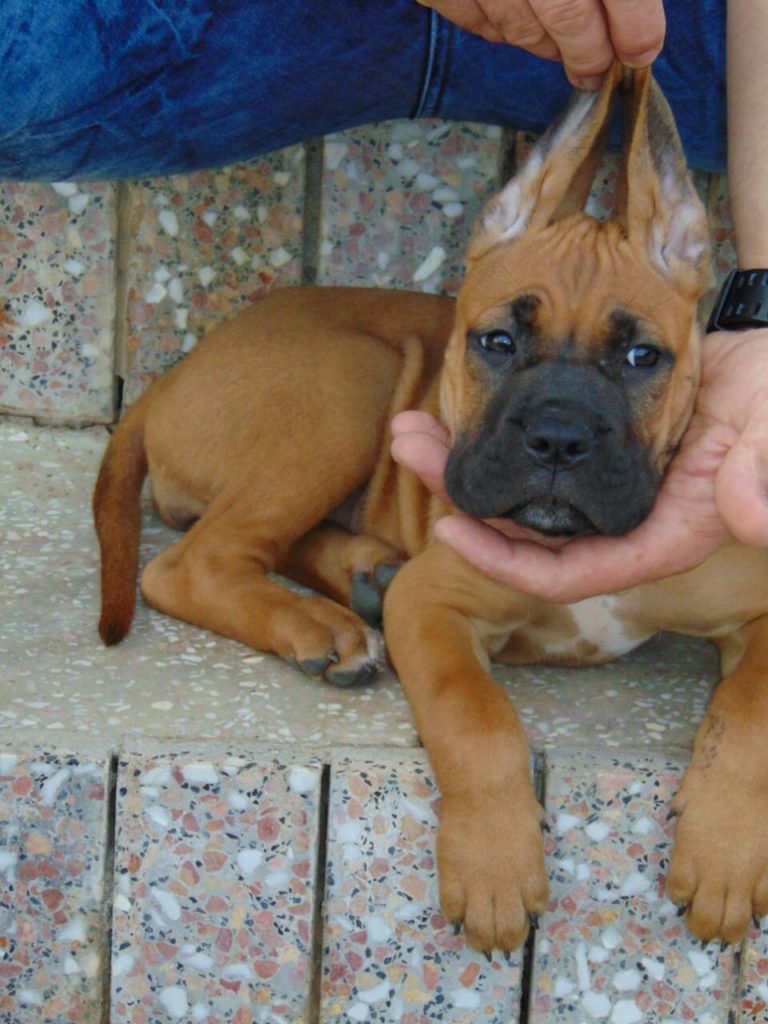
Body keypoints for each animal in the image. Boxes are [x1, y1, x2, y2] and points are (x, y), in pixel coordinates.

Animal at [94, 68, 768, 950]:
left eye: (641, 357)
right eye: (497, 343)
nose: (558, 437)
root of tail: (170, 376)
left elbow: (750, 714)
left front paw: (724, 852)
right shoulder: (434, 604)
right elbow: (475, 717)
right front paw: (494, 866)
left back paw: (363, 576)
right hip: (348, 385)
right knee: (191, 563)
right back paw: (321, 624)